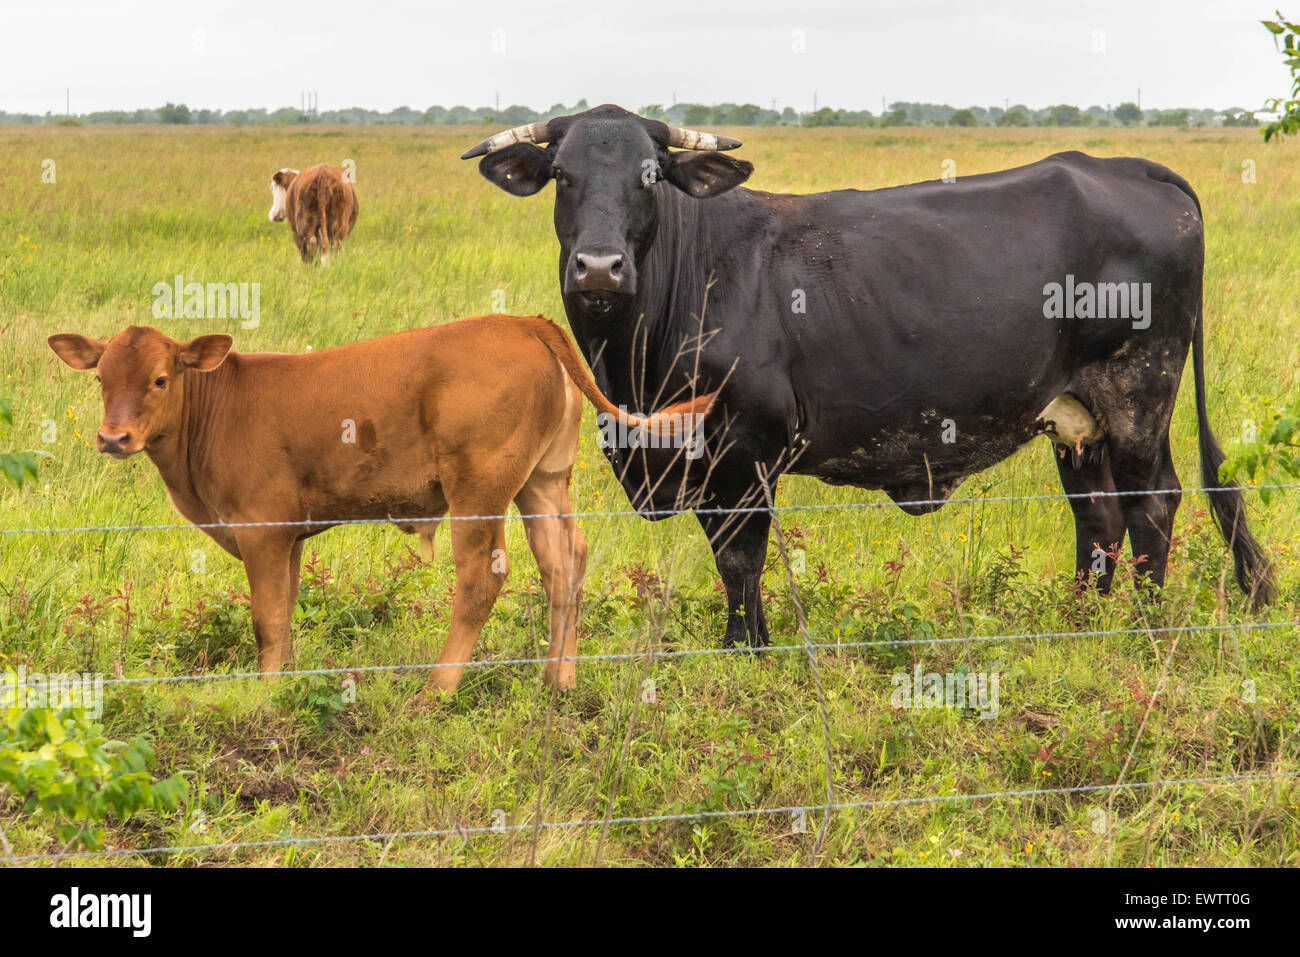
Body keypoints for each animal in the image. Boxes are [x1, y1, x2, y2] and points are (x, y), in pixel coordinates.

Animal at [47, 317, 713, 694]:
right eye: (101, 378)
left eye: (160, 379)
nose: (113, 437)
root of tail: (522, 320)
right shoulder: (288, 536)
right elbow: (286, 611)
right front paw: (285, 683)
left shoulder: (261, 528)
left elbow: (267, 619)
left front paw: (263, 695)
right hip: (543, 480)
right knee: (564, 564)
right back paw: (558, 682)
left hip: (479, 491)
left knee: (481, 579)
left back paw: (437, 689)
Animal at [462, 104, 1275, 650]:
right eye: (562, 175)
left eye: (649, 176)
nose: (599, 267)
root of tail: (1122, 165)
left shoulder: (744, 451)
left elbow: (740, 558)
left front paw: (747, 651)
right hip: (1077, 416)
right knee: (1098, 514)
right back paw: (1083, 622)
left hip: (1141, 389)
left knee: (1153, 504)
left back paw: (1145, 624)